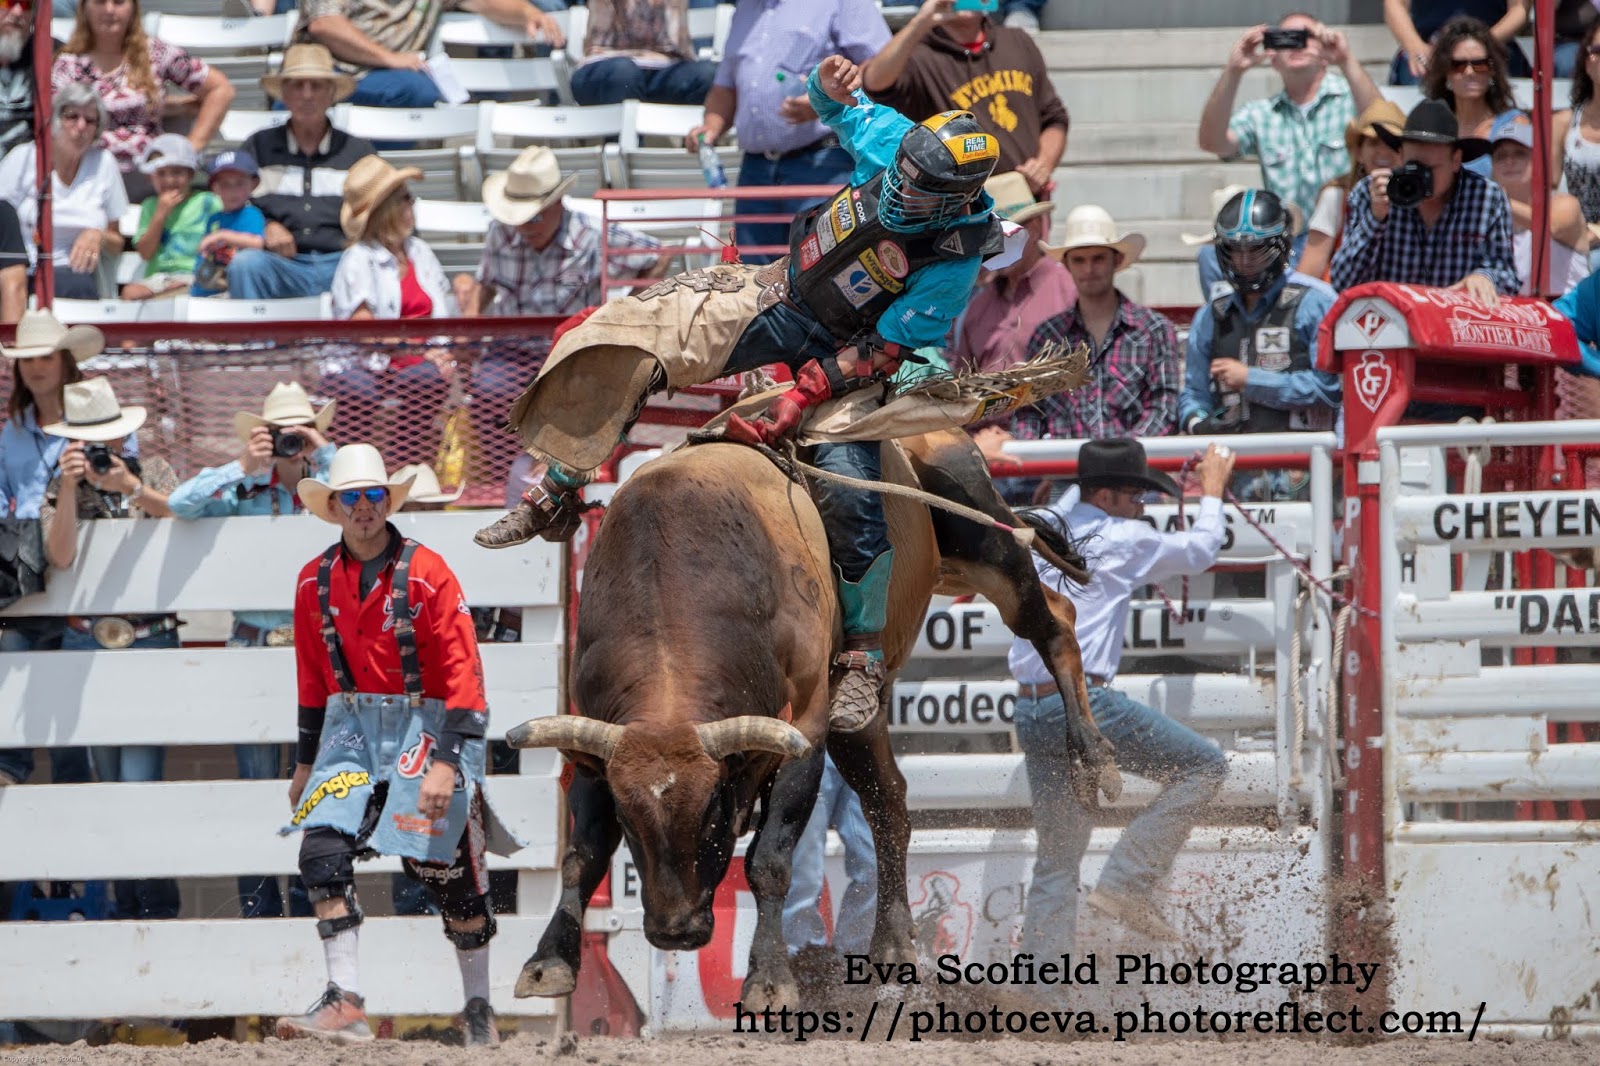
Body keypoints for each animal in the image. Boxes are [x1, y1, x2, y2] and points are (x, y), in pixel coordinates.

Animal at [508, 429, 1122, 1007]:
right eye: (629, 820)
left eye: (710, 813)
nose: (675, 932)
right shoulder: (596, 749)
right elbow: (581, 856)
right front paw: (548, 962)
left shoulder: (802, 729)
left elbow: (769, 861)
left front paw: (769, 978)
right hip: (860, 707)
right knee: (888, 801)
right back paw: (893, 942)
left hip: (988, 543)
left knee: (1056, 621)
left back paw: (1093, 759)